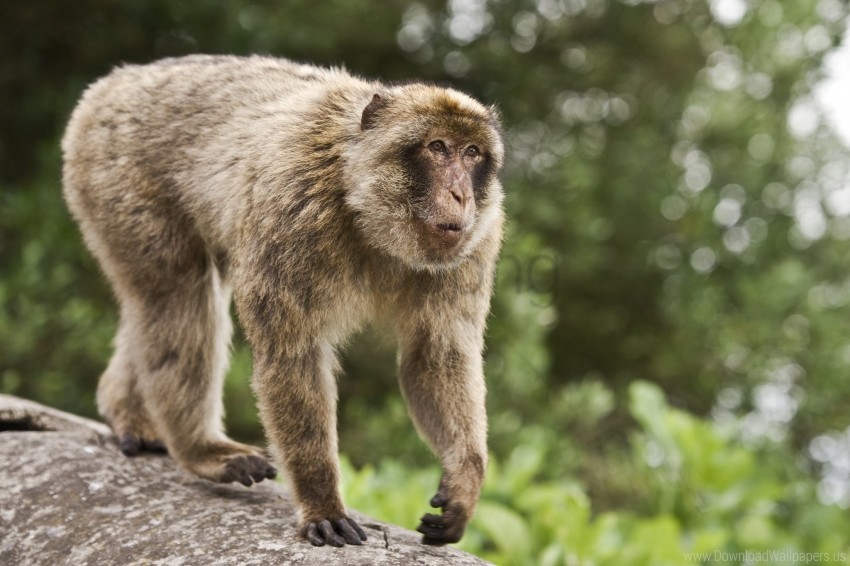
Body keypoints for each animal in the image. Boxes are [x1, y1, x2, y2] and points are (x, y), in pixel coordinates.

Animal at [61, 54, 504, 548]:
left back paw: (126, 413)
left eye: (472, 153)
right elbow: (292, 355)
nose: (461, 195)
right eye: (438, 147)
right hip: (114, 173)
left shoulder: (477, 242)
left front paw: (464, 482)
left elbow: (435, 357)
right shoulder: (290, 210)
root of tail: (117, 80)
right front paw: (321, 503)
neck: (360, 197)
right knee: (175, 291)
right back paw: (199, 448)